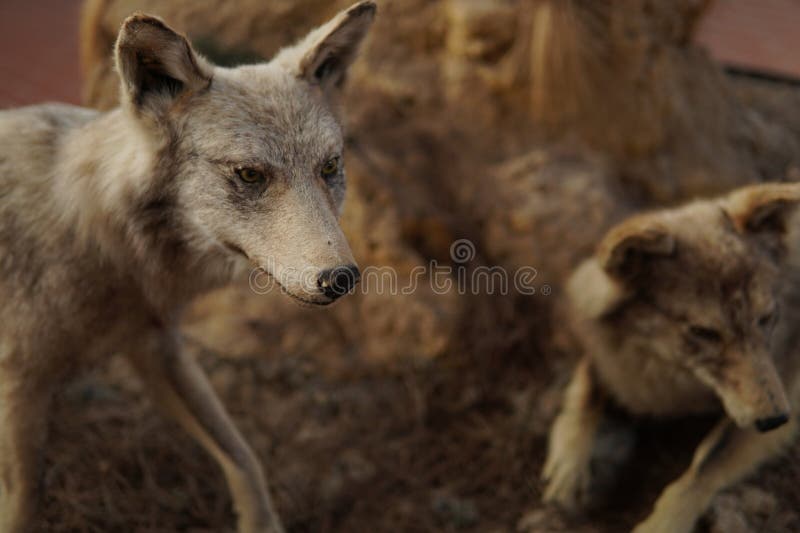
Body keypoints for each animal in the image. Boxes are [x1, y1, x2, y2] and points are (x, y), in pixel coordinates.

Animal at [0, 2, 375, 532]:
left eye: (329, 168)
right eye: (249, 175)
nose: (341, 278)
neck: (107, 247)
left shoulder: (158, 346)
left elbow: (244, 458)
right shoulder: (18, 384)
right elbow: (25, 499)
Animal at [541, 182, 800, 533]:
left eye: (766, 318)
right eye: (703, 332)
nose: (775, 418)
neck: (669, 368)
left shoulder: (787, 384)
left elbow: (705, 465)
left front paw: (660, 523)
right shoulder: (608, 353)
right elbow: (587, 391)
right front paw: (568, 466)